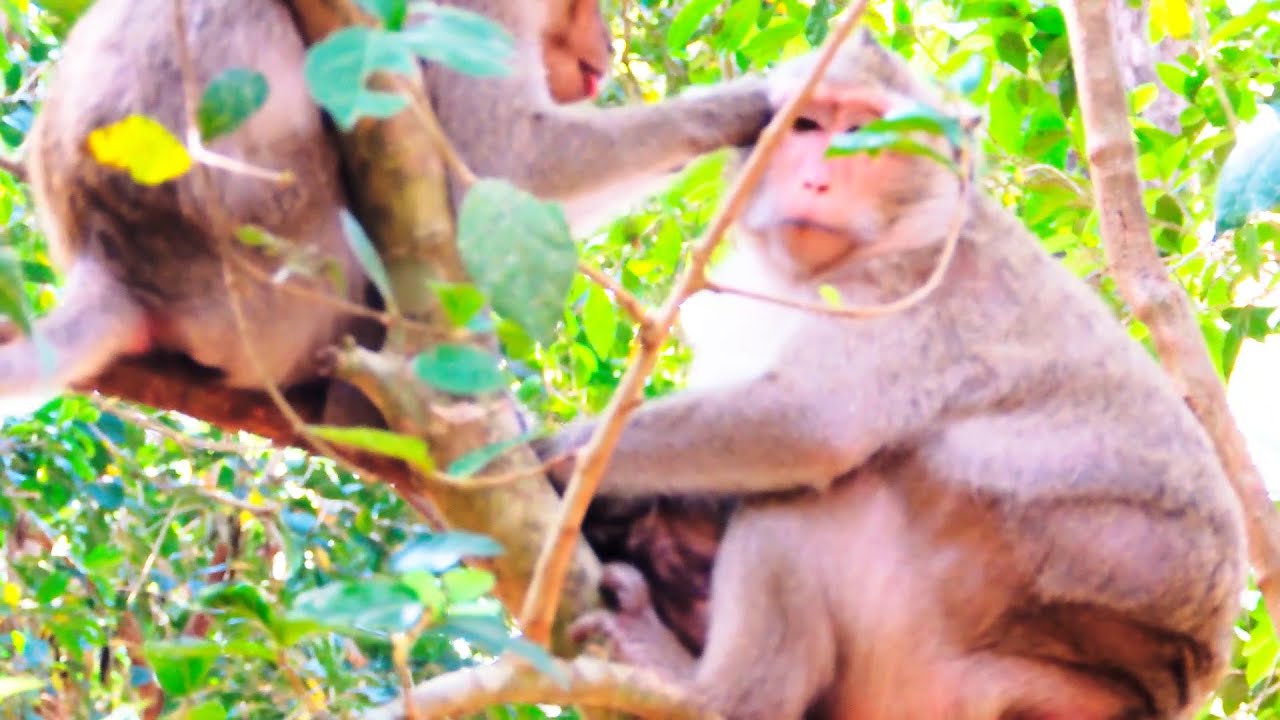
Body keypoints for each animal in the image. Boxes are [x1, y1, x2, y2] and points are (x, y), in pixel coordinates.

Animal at [534, 32, 1247, 720]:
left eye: (863, 132)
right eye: (807, 125)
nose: (818, 180)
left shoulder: (905, 292)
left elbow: (805, 424)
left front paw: (544, 456)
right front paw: (632, 520)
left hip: (961, 630)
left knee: (834, 487)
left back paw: (721, 694)